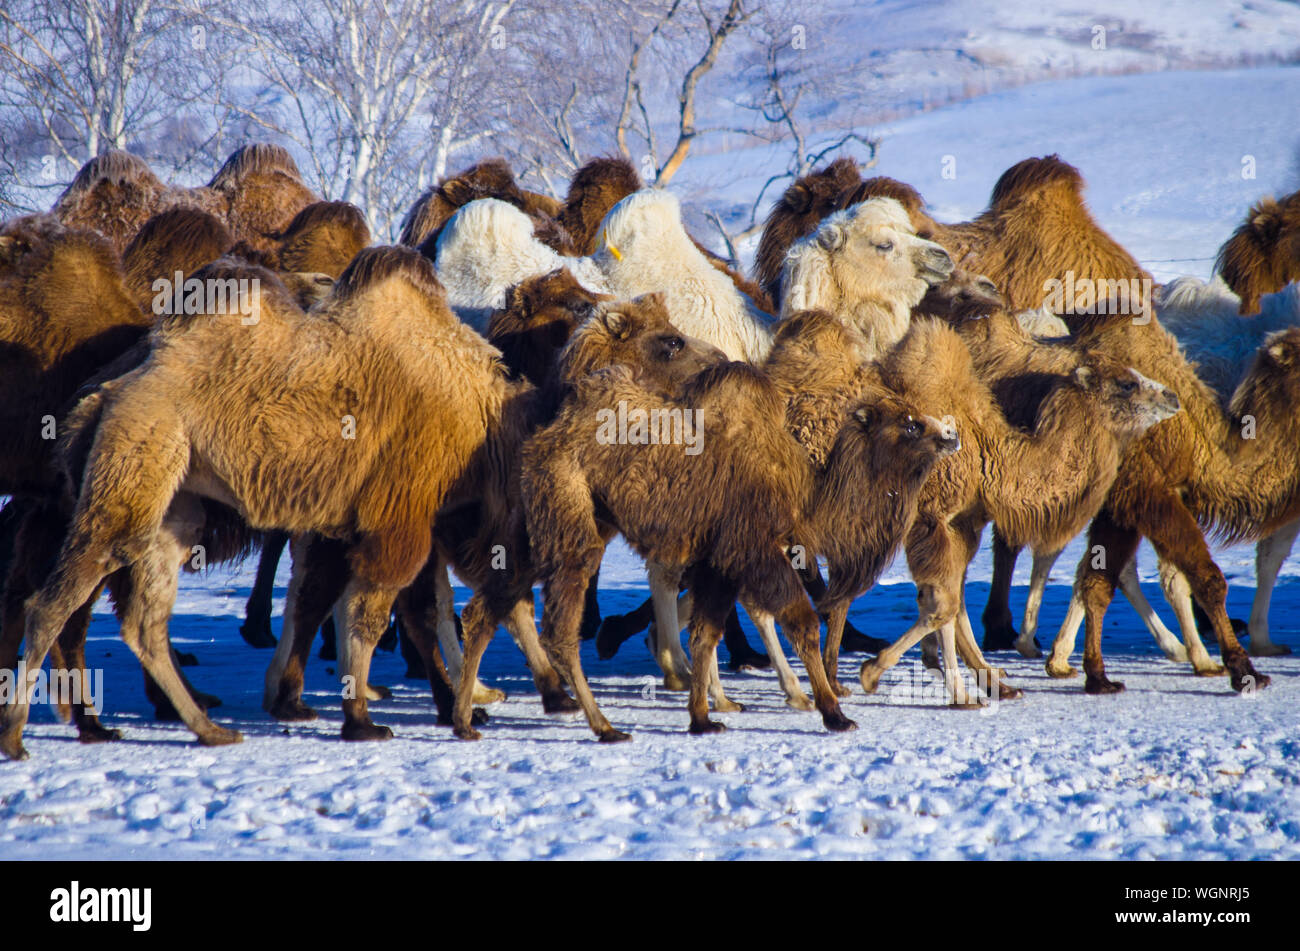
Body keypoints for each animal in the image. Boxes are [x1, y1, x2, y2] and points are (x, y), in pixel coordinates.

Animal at [858, 319, 1182, 704]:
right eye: (1127, 383)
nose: (1173, 397)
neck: (987, 453)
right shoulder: (930, 520)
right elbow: (943, 603)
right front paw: (877, 674)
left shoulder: (962, 523)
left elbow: (952, 601)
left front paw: (991, 682)